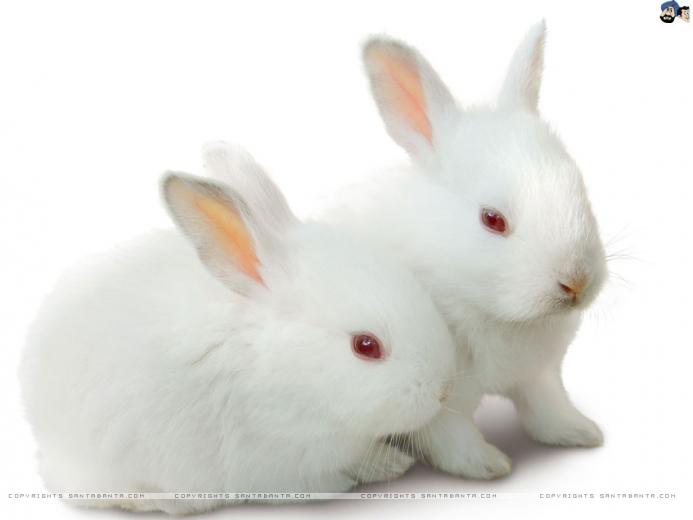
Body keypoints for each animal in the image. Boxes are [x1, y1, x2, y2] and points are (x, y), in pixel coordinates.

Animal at [314, 21, 608, 479]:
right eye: (492, 219)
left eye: (579, 188)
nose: (575, 281)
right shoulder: (439, 401)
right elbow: (452, 438)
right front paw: (489, 466)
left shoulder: (539, 374)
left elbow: (547, 409)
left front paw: (581, 433)